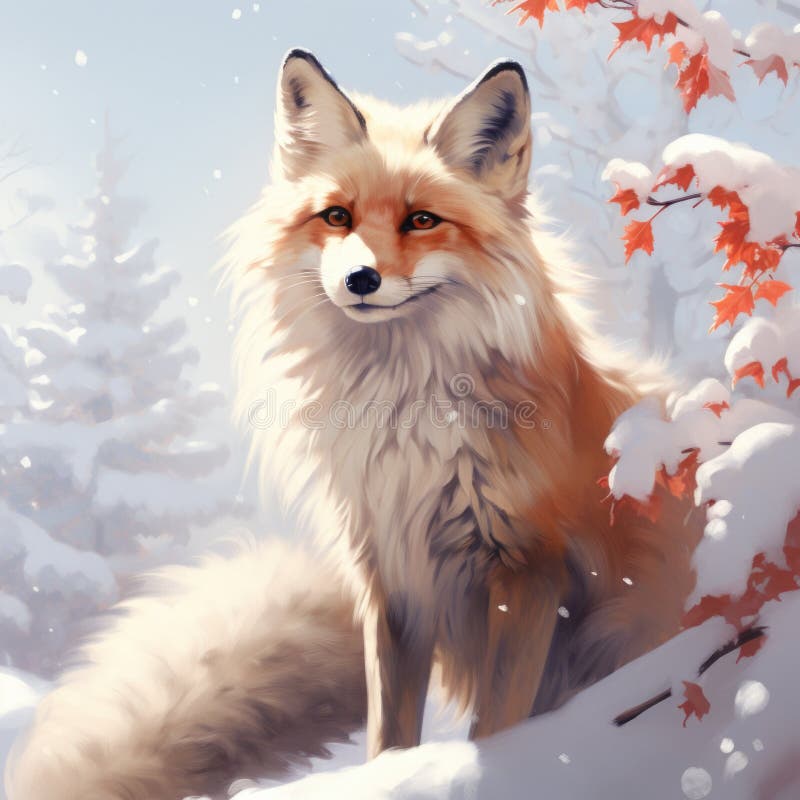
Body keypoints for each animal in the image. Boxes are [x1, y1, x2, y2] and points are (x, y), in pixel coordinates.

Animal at [6, 50, 701, 800]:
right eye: (336, 216)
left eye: (422, 220)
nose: (361, 279)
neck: (403, 419)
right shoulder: (392, 577)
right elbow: (389, 732)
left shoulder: (530, 570)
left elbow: (497, 727)